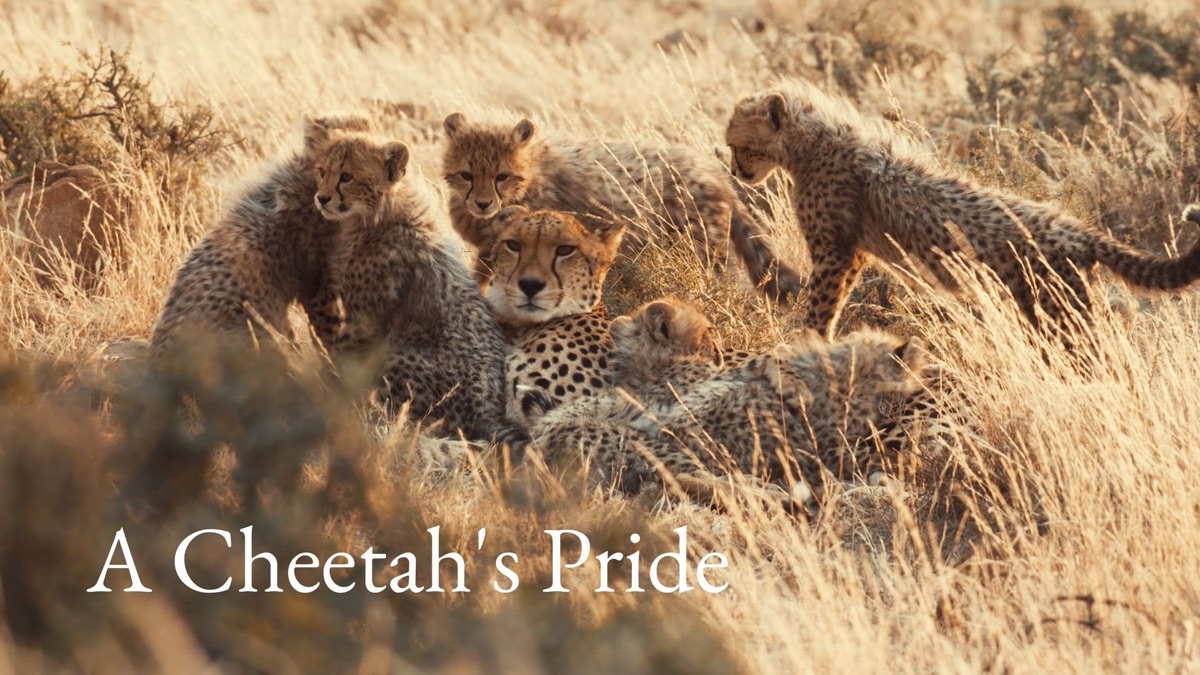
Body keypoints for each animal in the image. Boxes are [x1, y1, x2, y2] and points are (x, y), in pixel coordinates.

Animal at [311, 127, 522, 446]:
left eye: (346, 176)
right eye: (322, 171)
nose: (321, 198)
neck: (379, 215)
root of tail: (488, 412)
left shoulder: (364, 322)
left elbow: (343, 360)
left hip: (393, 355)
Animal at [441, 112, 803, 301]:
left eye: (502, 176)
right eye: (467, 175)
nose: (483, 203)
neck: (531, 176)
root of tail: (713, 171)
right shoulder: (490, 249)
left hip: (704, 250)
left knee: (729, 285)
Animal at [725, 78, 1200, 338]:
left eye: (736, 144)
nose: (734, 172)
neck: (809, 142)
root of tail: (1074, 229)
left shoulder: (834, 251)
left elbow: (821, 305)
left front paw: (805, 343)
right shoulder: (853, 253)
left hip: (1059, 314)